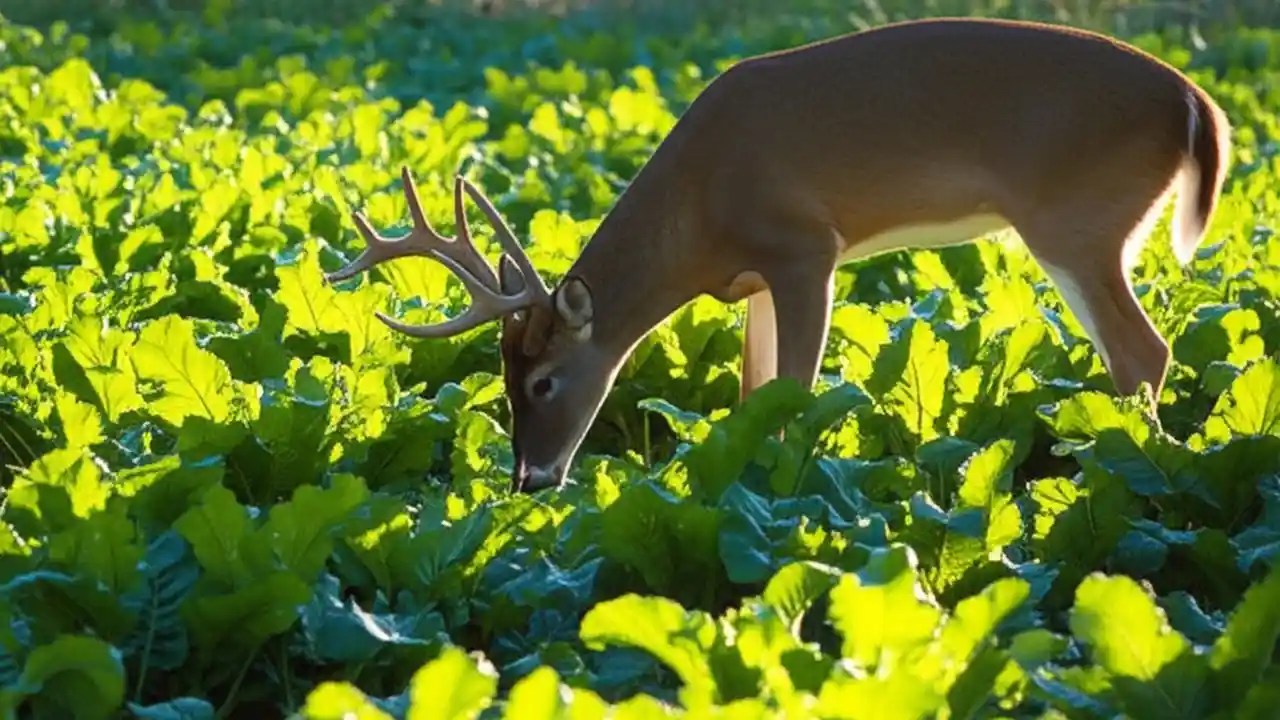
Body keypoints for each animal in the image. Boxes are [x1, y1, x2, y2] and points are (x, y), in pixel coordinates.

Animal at [325, 17, 1232, 492]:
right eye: (502, 378)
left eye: (545, 380)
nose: (530, 481)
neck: (701, 210)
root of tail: (1198, 105)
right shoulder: (754, 277)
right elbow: (751, 394)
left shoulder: (805, 247)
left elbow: (796, 392)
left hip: (1075, 221)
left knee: (1142, 351)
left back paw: (1130, 471)